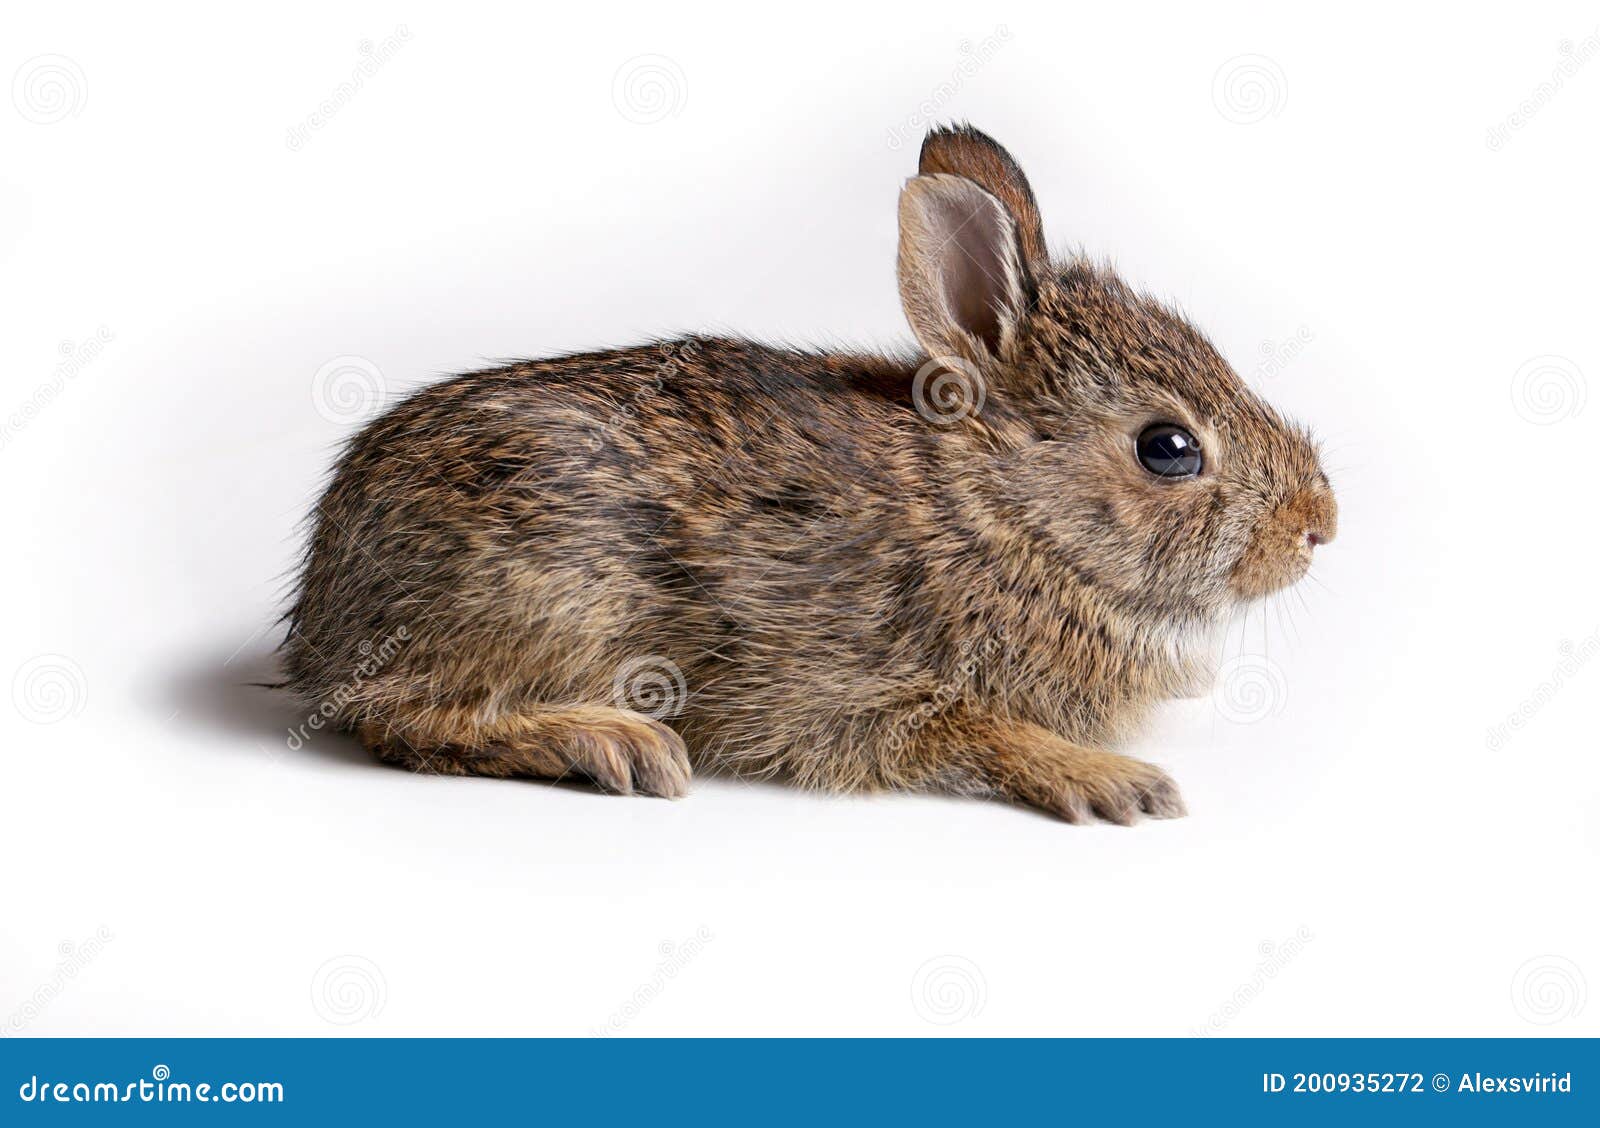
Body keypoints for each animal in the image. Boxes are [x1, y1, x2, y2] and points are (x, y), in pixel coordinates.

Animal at [282, 124, 1336, 824]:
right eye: (1169, 448)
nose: (1318, 525)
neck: (997, 514)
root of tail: (324, 608)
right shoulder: (867, 693)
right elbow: (974, 734)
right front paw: (1117, 783)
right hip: (550, 592)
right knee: (406, 719)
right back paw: (613, 744)